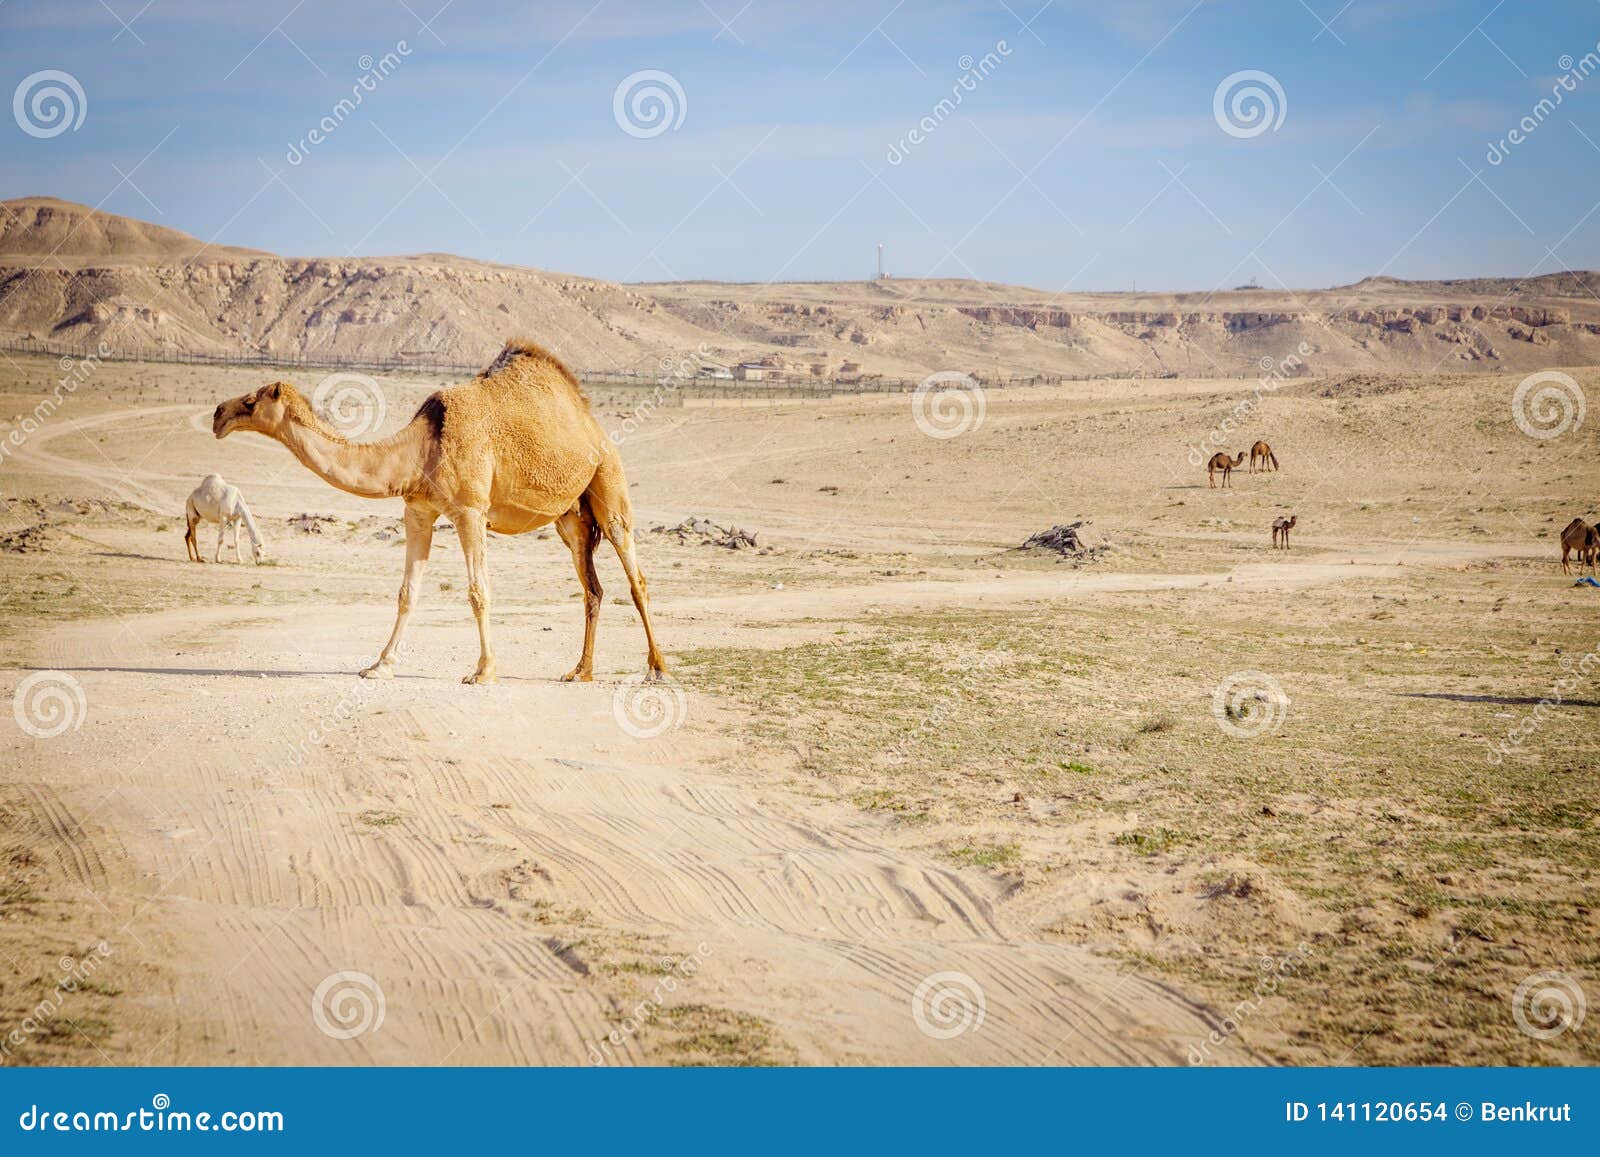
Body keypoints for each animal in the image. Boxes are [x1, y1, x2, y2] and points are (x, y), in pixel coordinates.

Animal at [212, 339, 666, 685]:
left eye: (250, 401)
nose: (218, 414)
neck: (421, 449)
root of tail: (592, 425)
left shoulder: (470, 510)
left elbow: (478, 592)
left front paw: (483, 672)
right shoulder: (418, 512)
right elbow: (406, 593)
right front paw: (380, 665)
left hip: (608, 480)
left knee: (636, 578)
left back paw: (656, 669)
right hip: (571, 517)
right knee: (593, 588)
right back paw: (579, 671)